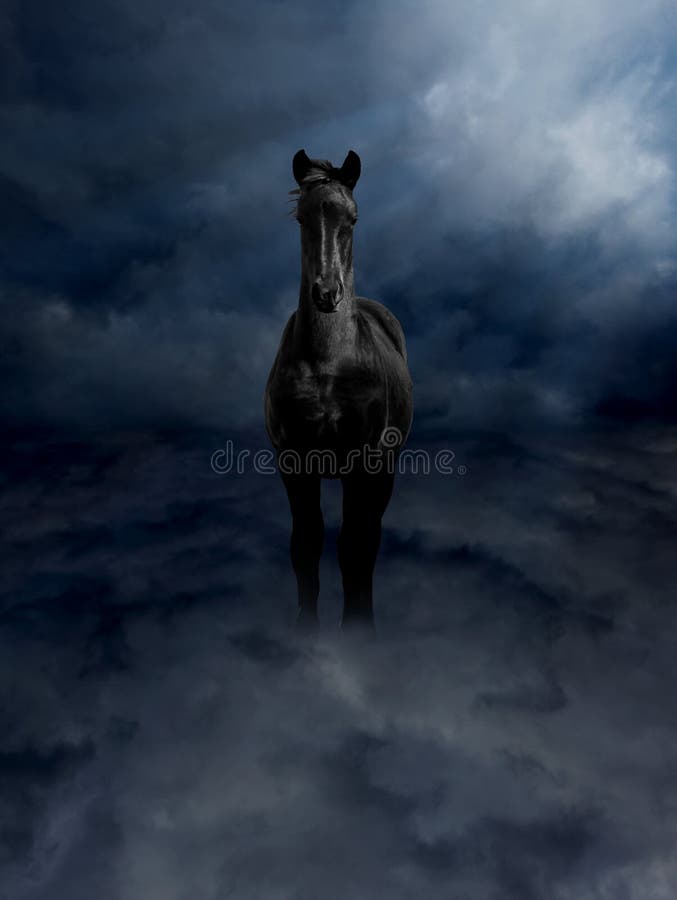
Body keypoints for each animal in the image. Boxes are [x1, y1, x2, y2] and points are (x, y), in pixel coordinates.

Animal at [264, 149, 413, 631]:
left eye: (353, 218)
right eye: (302, 218)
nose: (327, 294)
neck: (329, 364)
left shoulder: (364, 464)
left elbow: (355, 545)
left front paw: (357, 628)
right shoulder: (294, 462)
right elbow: (306, 544)